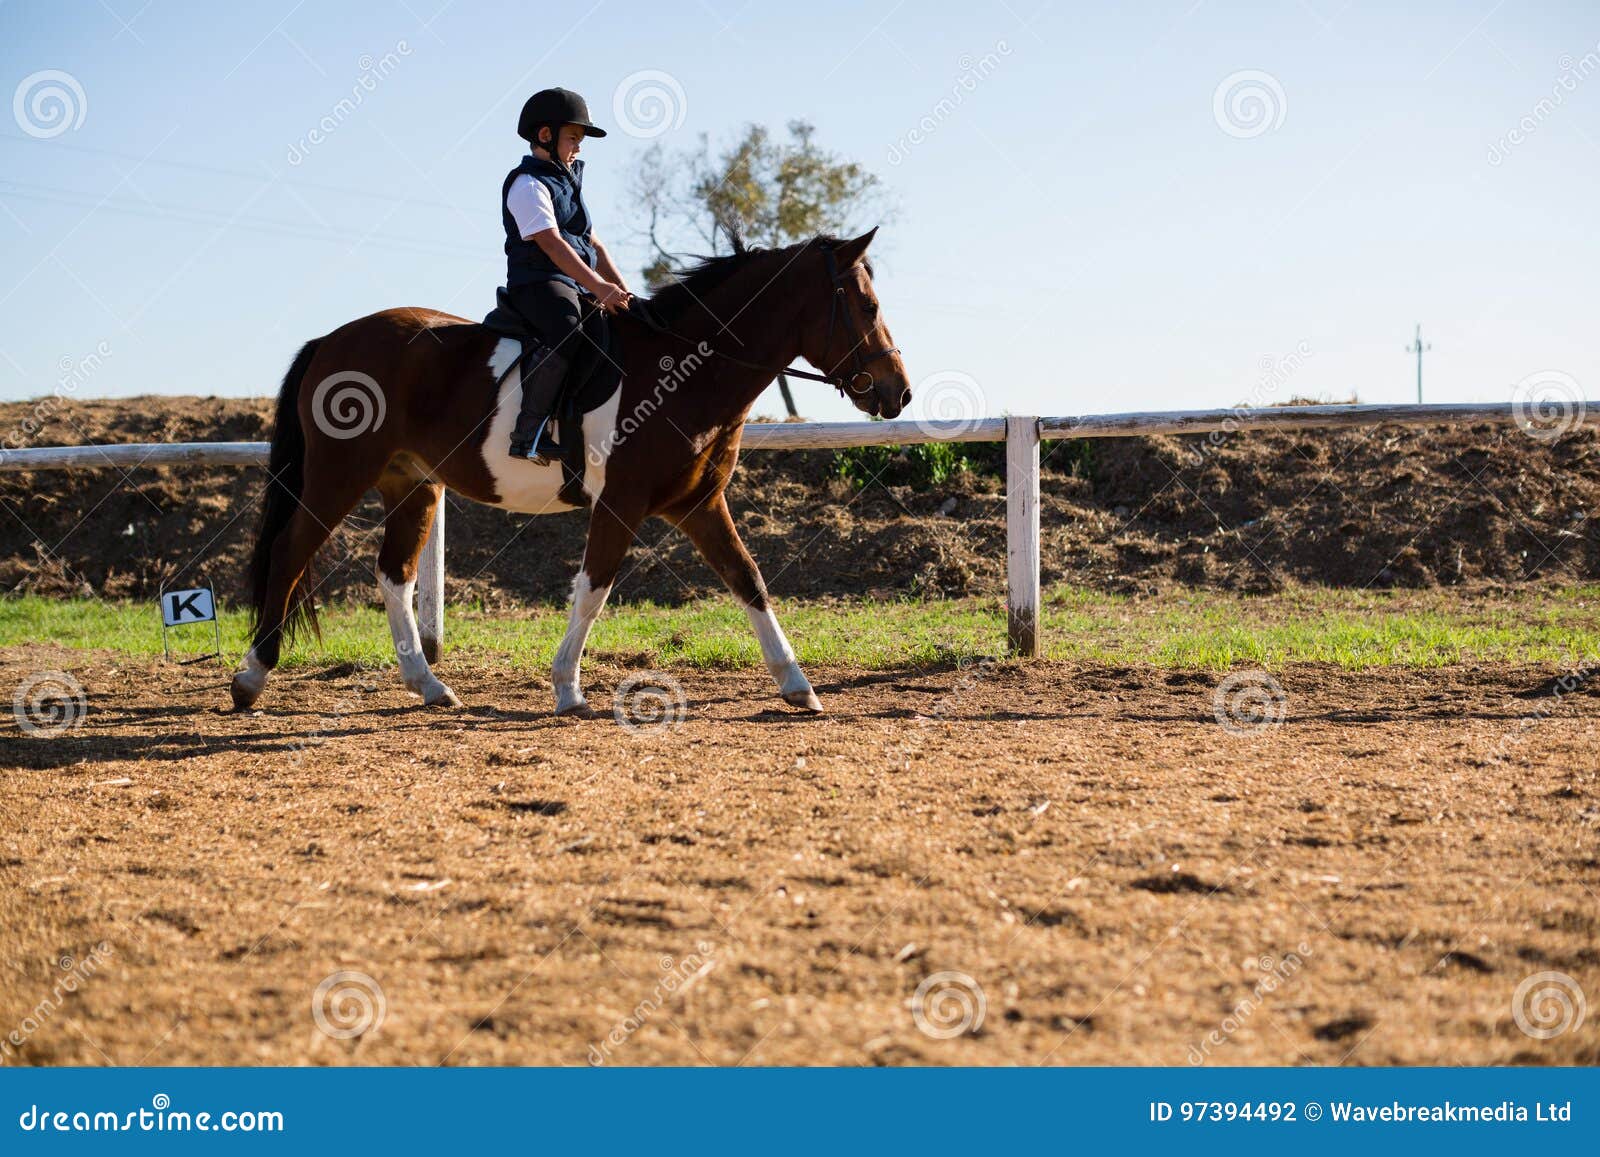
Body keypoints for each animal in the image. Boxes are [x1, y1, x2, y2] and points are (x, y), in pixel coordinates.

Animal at [229, 228, 909, 717]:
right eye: (866, 305)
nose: (897, 393)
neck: (683, 368)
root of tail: (331, 339)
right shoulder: (621, 504)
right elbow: (595, 588)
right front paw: (568, 689)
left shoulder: (698, 505)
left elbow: (749, 579)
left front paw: (797, 685)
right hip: (338, 475)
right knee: (290, 552)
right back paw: (251, 678)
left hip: (412, 483)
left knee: (394, 575)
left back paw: (430, 686)